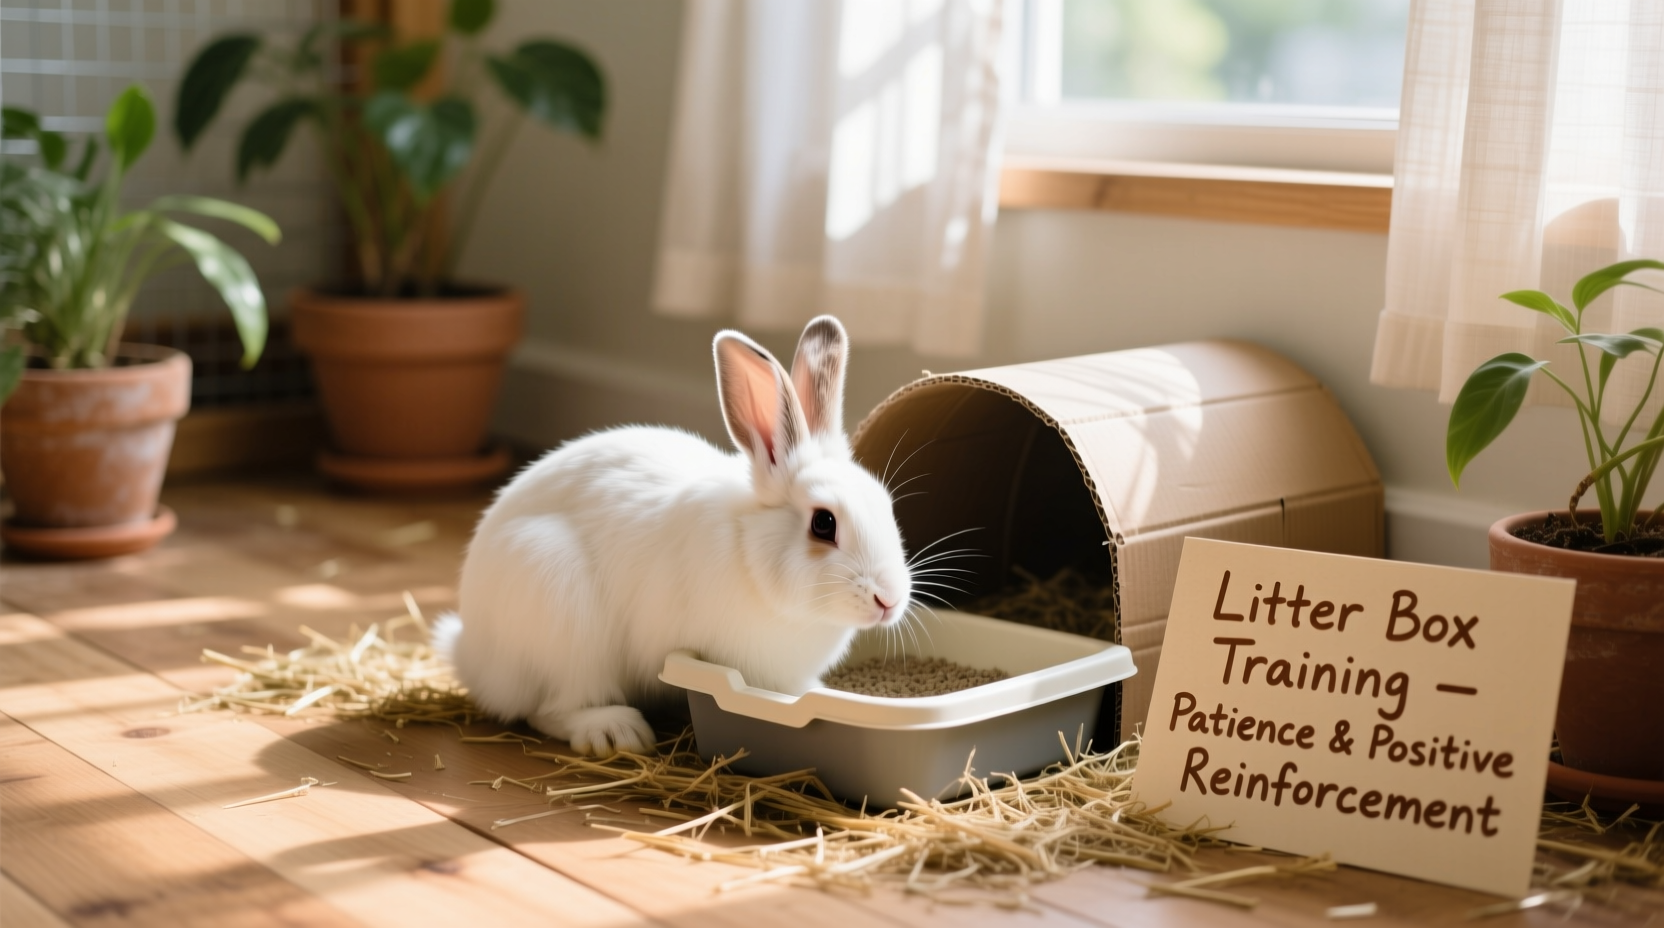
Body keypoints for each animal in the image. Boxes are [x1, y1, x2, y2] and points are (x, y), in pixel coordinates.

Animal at [432, 316, 914, 756]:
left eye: (887, 505)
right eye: (823, 524)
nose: (889, 600)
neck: (750, 550)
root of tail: (470, 654)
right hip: (563, 620)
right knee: (550, 709)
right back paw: (616, 732)